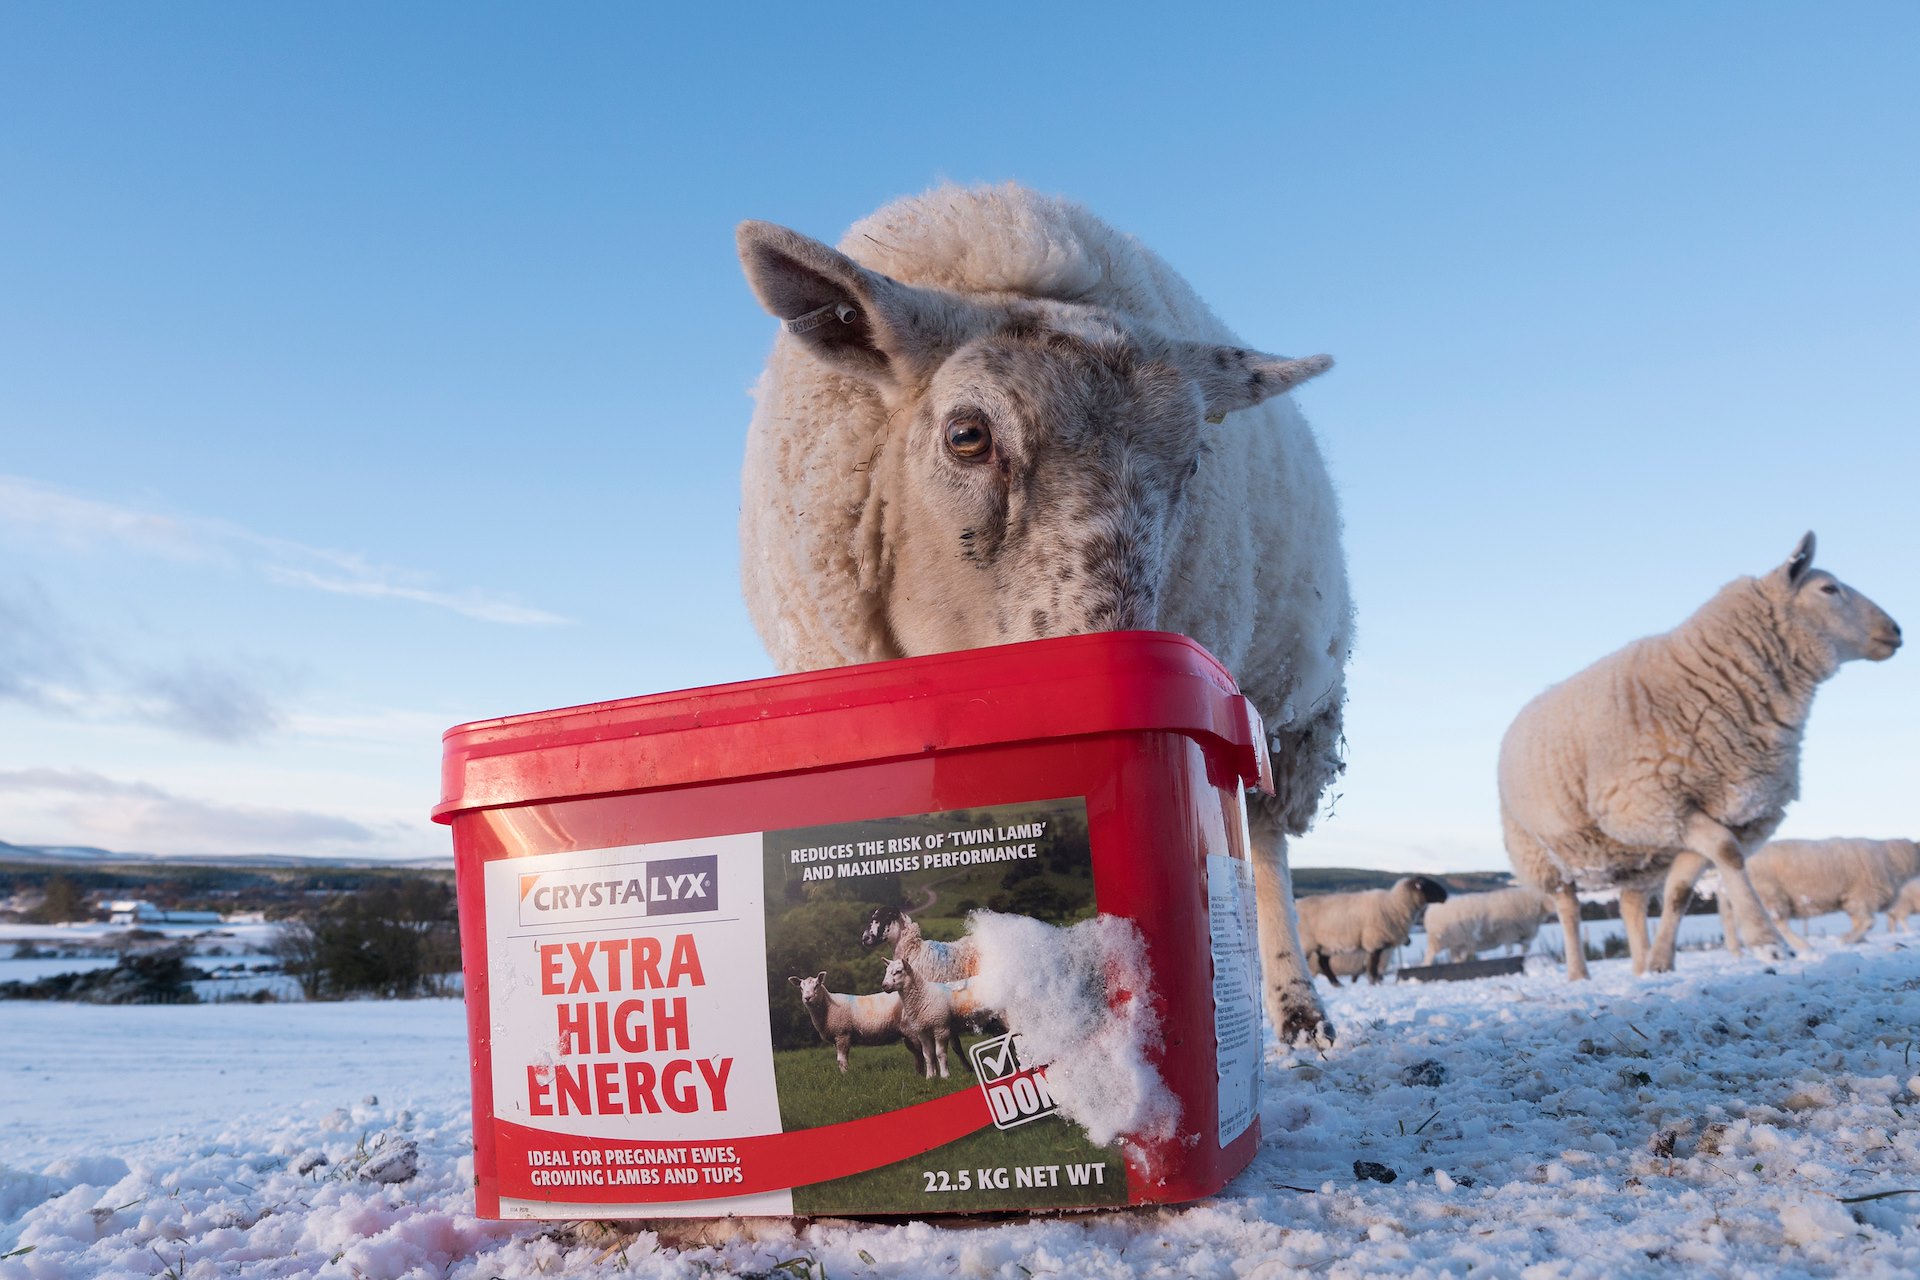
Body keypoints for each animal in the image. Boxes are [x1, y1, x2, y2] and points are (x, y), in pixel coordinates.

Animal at [787, 972, 919, 1074]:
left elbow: (841, 1060)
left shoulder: (842, 1034)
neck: (828, 1007)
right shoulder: (838, 1038)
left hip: (912, 1029)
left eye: (817, 986)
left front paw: (845, 1076)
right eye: (801, 988)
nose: (807, 998)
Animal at [1296, 877, 1448, 984]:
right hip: (1307, 941)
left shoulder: (1376, 943)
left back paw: (1337, 984)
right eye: (1428, 886)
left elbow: (1372, 964)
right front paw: (1374, 982)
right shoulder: (1374, 940)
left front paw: (1374, 981)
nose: (1446, 895)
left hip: (1325, 945)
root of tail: (1296, 903)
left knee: (1324, 963)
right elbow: (1373, 964)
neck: (1394, 904)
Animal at [1421, 887, 1555, 965]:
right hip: (1437, 940)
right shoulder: (1507, 933)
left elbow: (1525, 950)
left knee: (1455, 957)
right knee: (1429, 955)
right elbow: (1509, 951)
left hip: (1457, 943)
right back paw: (1426, 965)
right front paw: (1510, 957)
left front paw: (1524, 956)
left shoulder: (1523, 936)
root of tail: (1430, 909)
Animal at [1716, 838, 1920, 949]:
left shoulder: (1852, 900)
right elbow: (1868, 922)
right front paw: (1846, 940)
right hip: (1770, 894)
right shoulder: (1861, 896)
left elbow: (1860, 923)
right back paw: (1804, 946)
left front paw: (1859, 941)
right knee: (1779, 923)